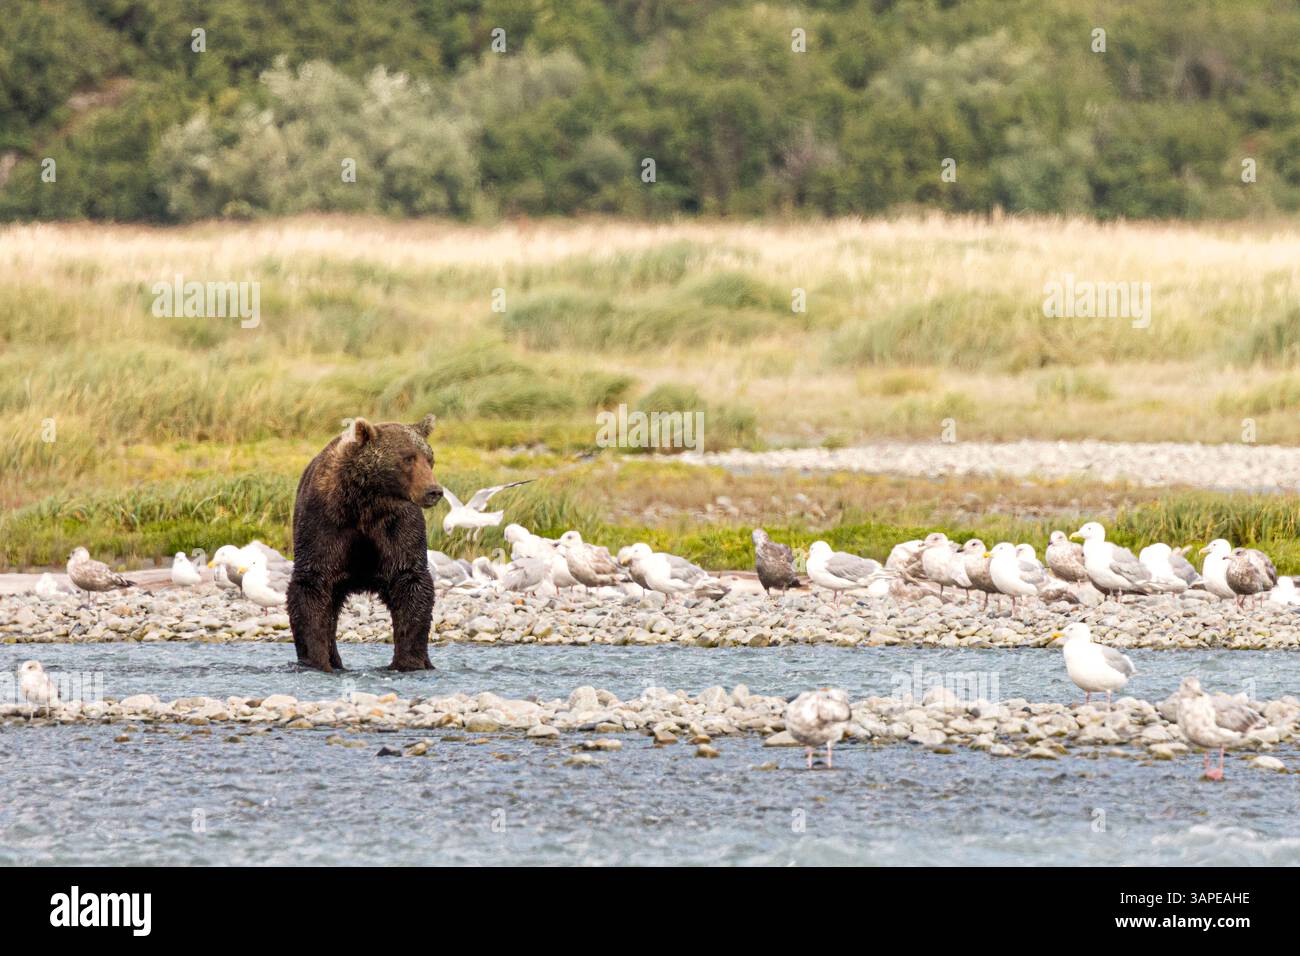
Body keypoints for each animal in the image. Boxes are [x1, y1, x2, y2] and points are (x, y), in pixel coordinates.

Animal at [287, 414, 441, 672]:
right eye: (407, 458)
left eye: (430, 459)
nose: (434, 491)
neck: (366, 505)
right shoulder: (326, 524)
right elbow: (311, 587)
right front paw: (316, 661)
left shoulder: (397, 528)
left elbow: (411, 583)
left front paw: (409, 661)